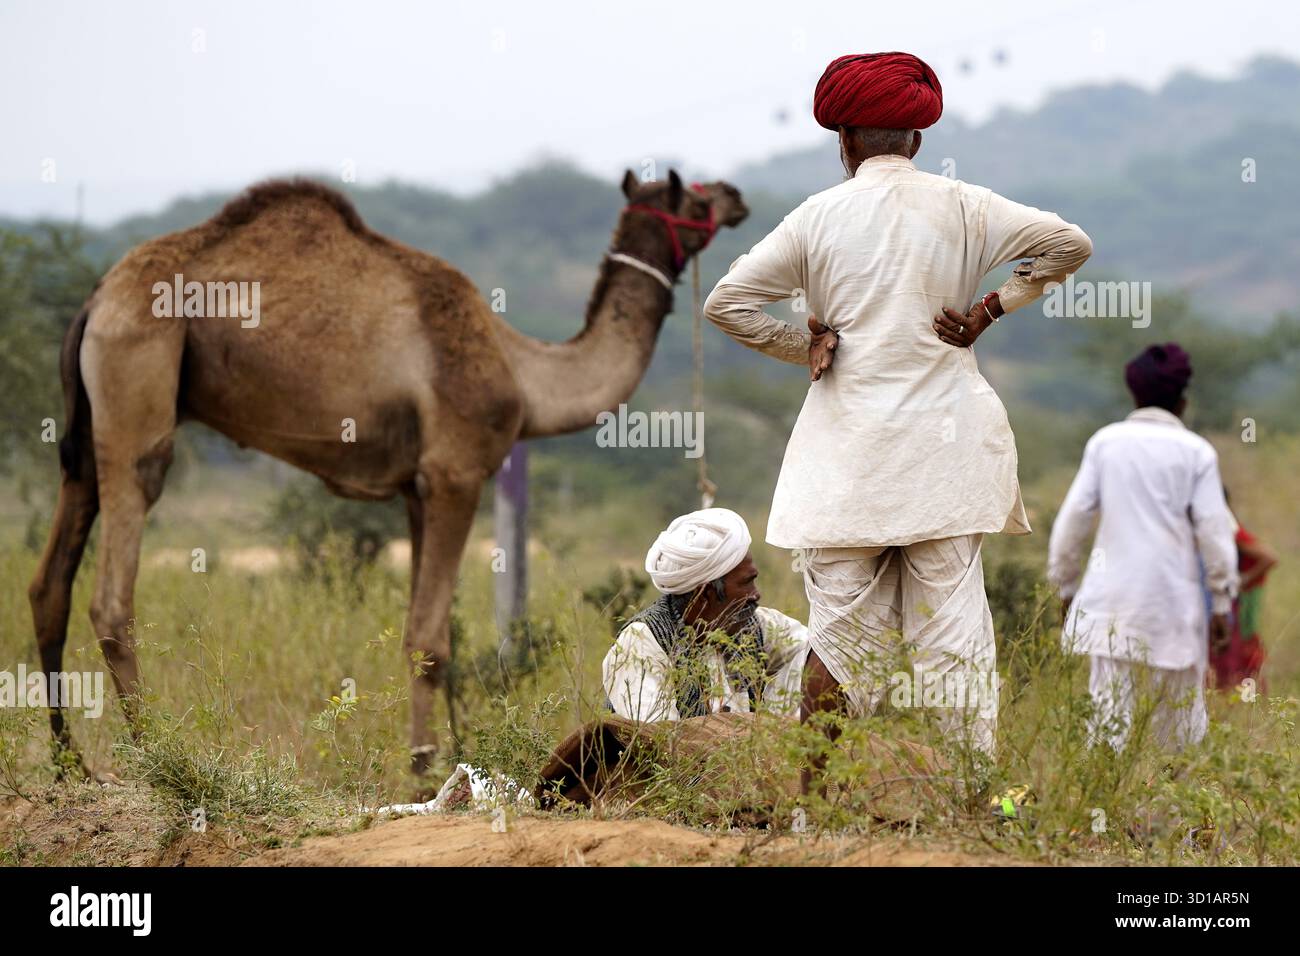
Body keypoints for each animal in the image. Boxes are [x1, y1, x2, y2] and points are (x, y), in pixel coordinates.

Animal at [28, 170, 749, 778]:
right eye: (695, 199)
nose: (737, 197)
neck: (523, 371)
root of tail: (97, 301)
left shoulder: (416, 488)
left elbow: (429, 631)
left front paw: (449, 751)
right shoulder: (456, 471)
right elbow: (430, 638)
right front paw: (424, 764)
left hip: (89, 428)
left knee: (48, 584)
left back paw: (70, 762)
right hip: (137, 372)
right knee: (113, 586)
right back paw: (153, 753)